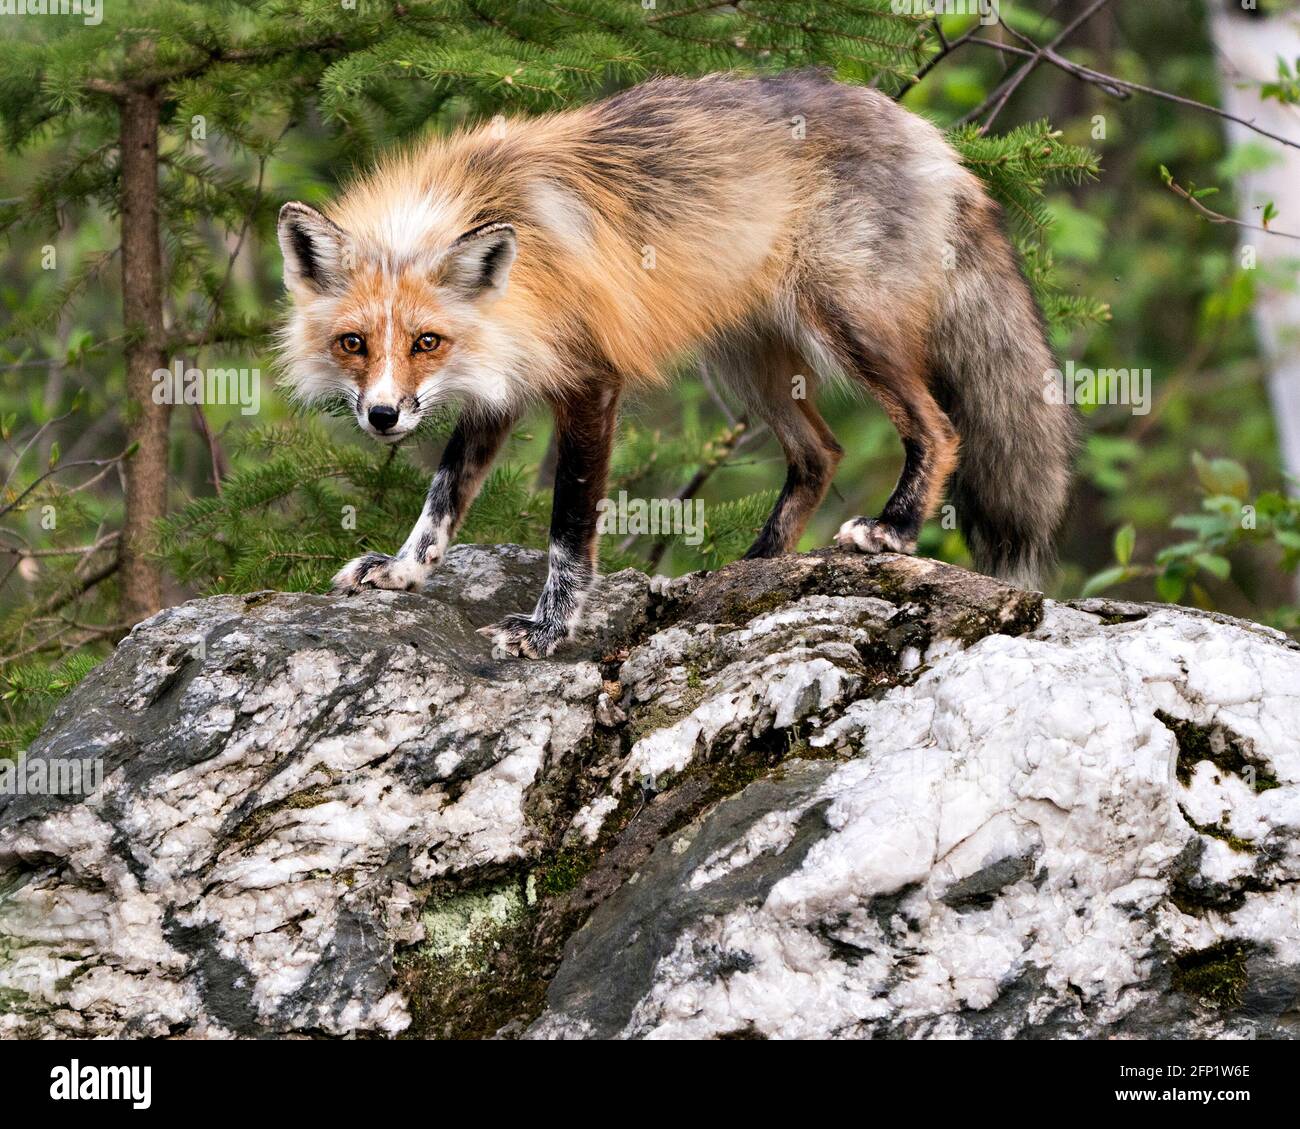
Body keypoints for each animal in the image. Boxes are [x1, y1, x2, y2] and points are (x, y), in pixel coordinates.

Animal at [276, 71, 1074, 659]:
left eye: (425, 342)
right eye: (354, 343)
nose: (382, 416)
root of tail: (930, 133)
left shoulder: (589, 380)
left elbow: (568, 531)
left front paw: (547, 629)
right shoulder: (500, 378)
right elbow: (443, 498)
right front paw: (402, 571)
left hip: (845, 325)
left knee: (938, 428)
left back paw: (894, 530)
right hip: (747, 360)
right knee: (821, 453)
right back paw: (755, 566)